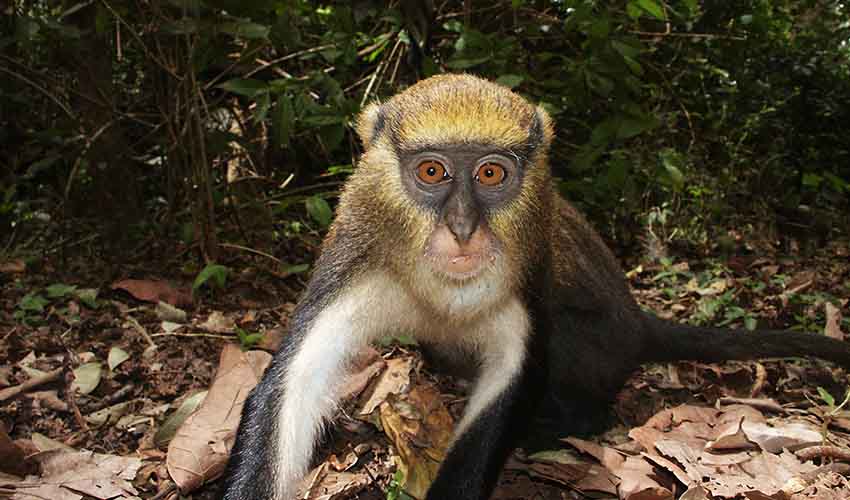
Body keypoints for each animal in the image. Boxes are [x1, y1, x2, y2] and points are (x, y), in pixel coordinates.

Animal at [220, 74, 850, 500]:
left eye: (491, 173)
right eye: (432, 172)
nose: (463, 229)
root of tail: (637, 322)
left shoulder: (528, 281)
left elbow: (514, 380)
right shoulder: (356, 255)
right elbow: (291, 384)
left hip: (597, 344)